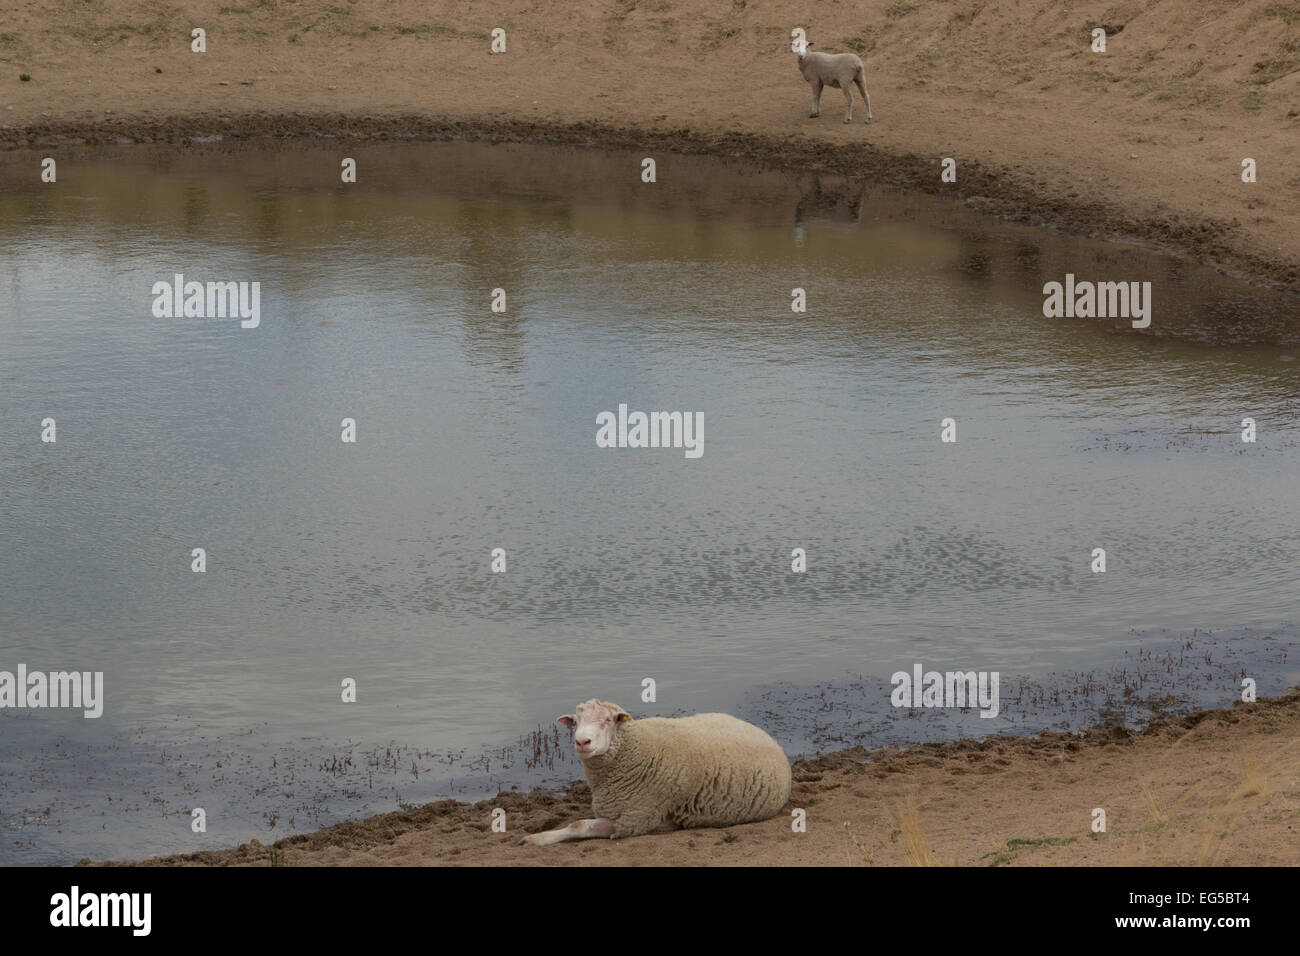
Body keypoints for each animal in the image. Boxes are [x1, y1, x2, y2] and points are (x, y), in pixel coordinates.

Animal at [523, 698, 792, 845]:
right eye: (575, 723)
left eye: (608, 720)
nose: (582, 742)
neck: (633, 749)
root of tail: (766, 734)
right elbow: (577, 824)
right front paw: (536, 838)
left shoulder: (637, 818)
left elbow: (579, 826)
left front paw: (536, 839)